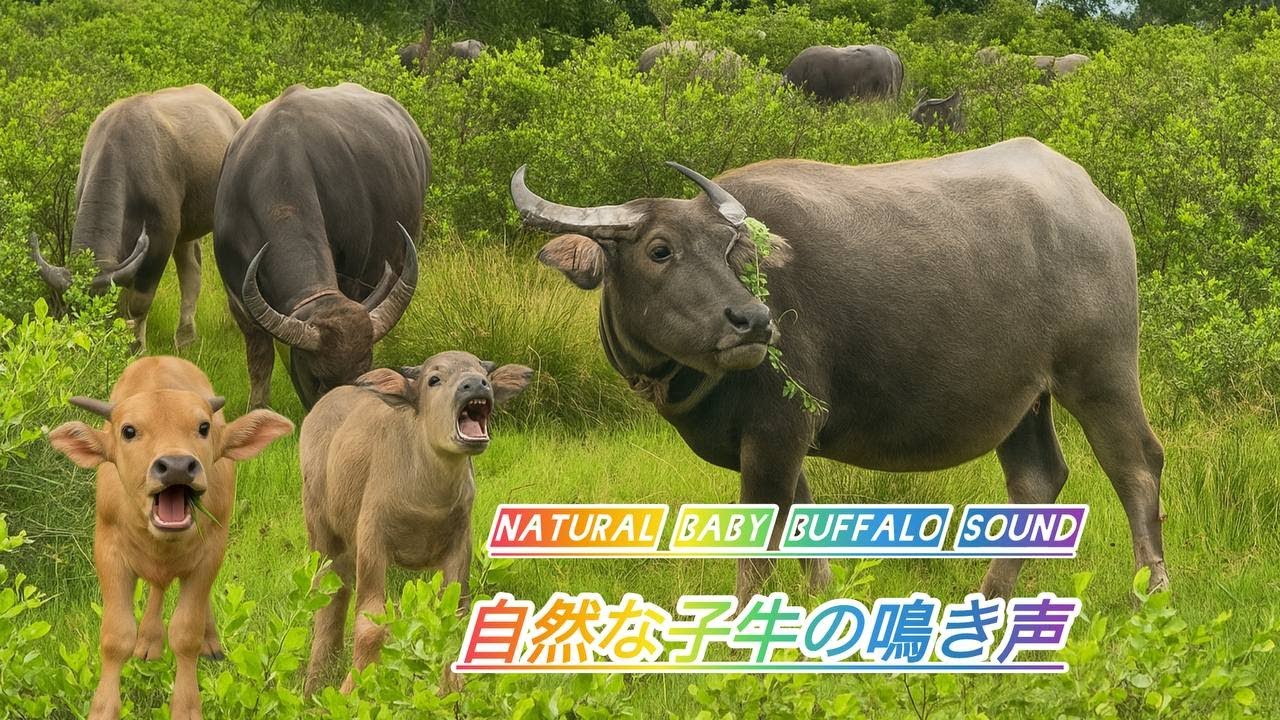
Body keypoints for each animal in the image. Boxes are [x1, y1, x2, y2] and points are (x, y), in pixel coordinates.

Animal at [29, 84, 243, 350]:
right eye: (71, 308)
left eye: (103, 309)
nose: (84, 346)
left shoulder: (161, 239)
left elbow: (139, 302)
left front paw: (137, 346)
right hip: (186, 231)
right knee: (191, 269)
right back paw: (185, 336)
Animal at [511, 138, 1168, 604]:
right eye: (660, 250)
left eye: (728, 253)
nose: (754, 321)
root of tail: (1100, 207)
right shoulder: (780, 440)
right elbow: (803, 526)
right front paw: (823, 599)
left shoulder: (778, 431)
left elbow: (761, 548)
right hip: (1023, 397)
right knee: (1037, 480)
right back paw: (989, 601)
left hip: (1100, 374)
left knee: (1136, 466)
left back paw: (1151, 592)